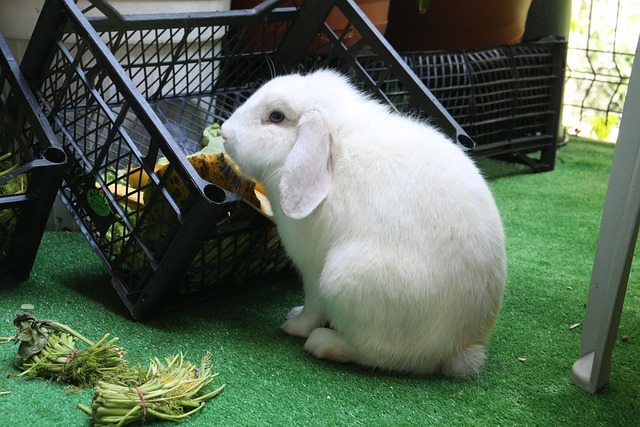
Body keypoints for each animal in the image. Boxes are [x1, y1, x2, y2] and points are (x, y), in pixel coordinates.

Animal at [220, 69, 506, 379]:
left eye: (276, 117)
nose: (224, 131)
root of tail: (460, 347)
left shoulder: (312, 270)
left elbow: (312, 308)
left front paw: (293, 325)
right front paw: (293, 315)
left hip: (342, 278)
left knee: (384, 355)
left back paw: (323, 343)